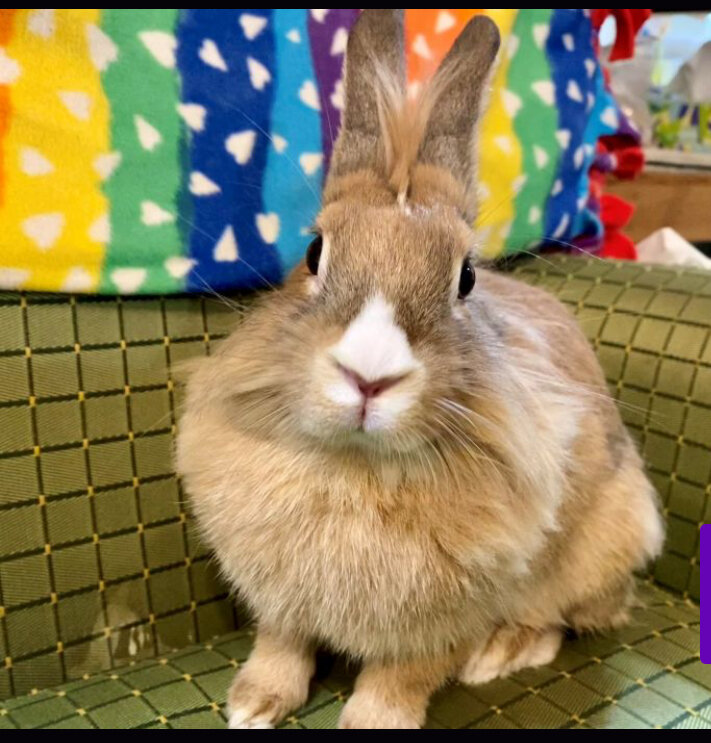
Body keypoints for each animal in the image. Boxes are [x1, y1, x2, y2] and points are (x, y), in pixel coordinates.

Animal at [176, 10, 664, 730]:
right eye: (314, 251)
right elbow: (281, 644)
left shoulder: (446, 616)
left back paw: (503, 651)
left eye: (465, 278)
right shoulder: (280, 598)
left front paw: (369, 722)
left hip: (597, 547)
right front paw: (253, 705)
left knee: (564, 618)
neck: (357, 464)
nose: (369, 376)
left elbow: (404, 673)